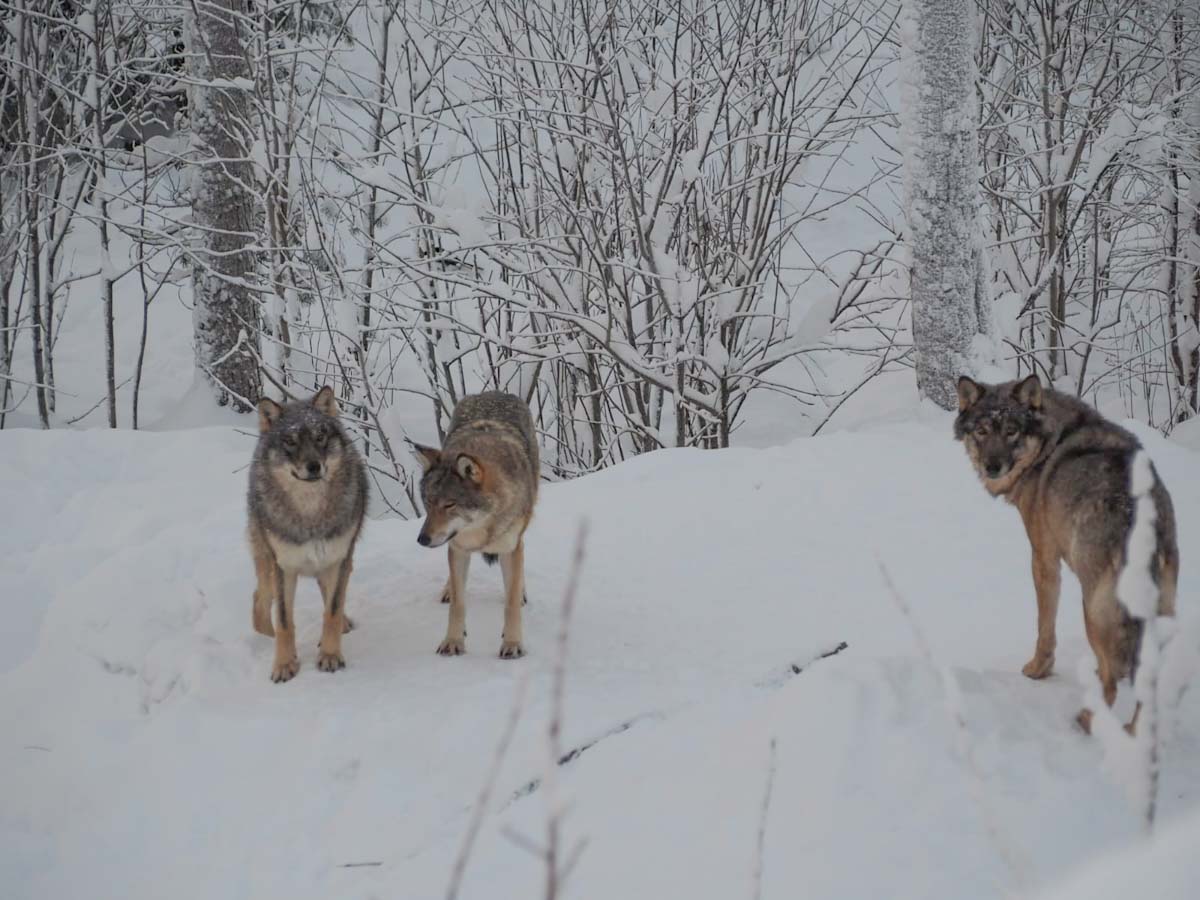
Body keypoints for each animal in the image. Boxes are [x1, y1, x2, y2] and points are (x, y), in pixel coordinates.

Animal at [248, 386, 368, 683]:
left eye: (320, 436)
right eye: (290, 441)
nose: (314, 466)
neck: (310, 513)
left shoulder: (338, 559)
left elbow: (332, 611)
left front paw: (330, 656)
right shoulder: (284, 567)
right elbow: (284, 619)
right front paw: (283, 664)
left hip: (340, 562)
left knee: (332, 596)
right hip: (267, 562)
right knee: (259, 599)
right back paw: (266, 638)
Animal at [412, 392, 539, 659]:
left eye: (449, 504)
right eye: (427, 502)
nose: (422, 539)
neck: (481, 528)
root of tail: (494, 393)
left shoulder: (510, 548)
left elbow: (511, 603)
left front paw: (512, 643)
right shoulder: (457, 548)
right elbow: (458, 604)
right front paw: (452, 641)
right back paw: (448, 589)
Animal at [955, 373, 1179, 732]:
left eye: (1011, 430)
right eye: (982, 431)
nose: (992, 466)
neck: (1047, 445)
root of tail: (1146, 528)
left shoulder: (1043, 558)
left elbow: (1045, 626)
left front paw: (1037, 670)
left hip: (1093, 611)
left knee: (1111, 680)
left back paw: (1088, 722)